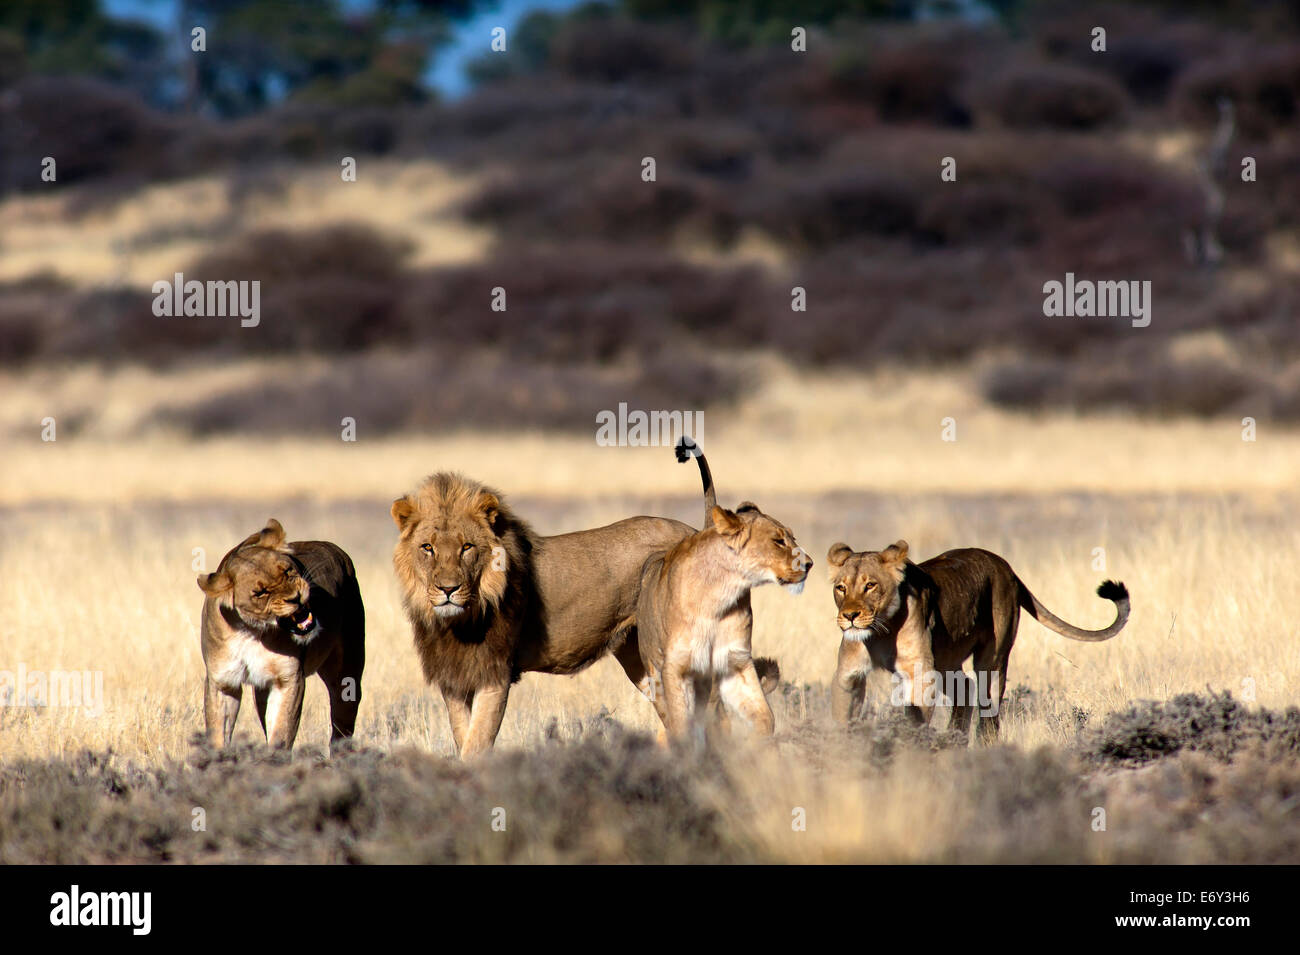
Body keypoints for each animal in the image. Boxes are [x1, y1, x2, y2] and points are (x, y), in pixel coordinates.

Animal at [197, 519, 365, 751]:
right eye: (260, 593)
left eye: (288, 571)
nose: (295, 598)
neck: (251, 633)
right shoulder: (223, 683)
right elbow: (217, 734)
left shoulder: (288, 680)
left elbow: (281, 733)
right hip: (261, 691)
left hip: (346, 676)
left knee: (342, 727)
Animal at [636, 503, 812, 742]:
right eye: (778, 541)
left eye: (793, 537)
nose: (809, 564)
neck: (717, 600)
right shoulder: (676, 668)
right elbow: (681, 726)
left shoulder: (734, 663)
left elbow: (764, 716)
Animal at [826, 541, 1129, 742]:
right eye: (841, 588)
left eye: (870, 585)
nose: (850, 616)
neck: (881, 631)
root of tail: (1006, 566)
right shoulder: (848, 674)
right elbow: (842, 717)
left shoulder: (920, 674)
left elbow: (915, 720)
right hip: (946, 661)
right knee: (965, 691)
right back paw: (953, 740)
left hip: (992, 660)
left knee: (989, 712)